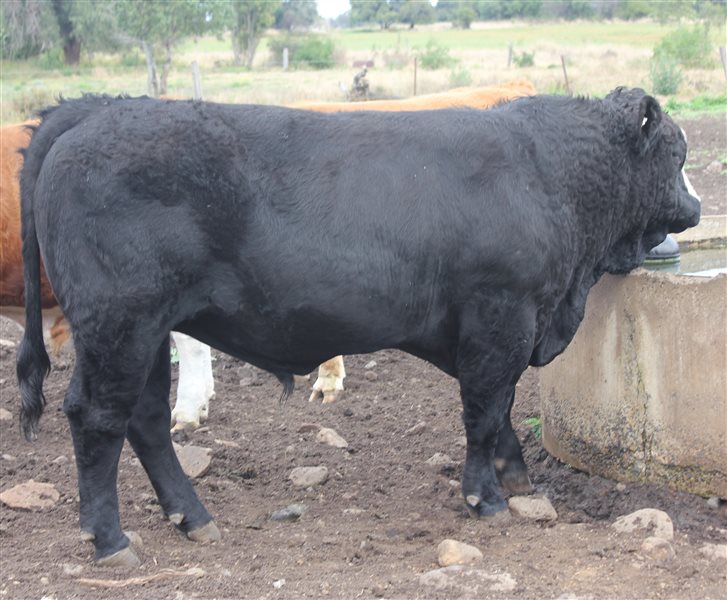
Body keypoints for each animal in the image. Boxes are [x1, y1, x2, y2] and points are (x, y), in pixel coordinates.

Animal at [17, 88, 700, 567]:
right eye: (677, 154)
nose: (695, 208)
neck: (545, 173)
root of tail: (97, 109)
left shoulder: (502, 328)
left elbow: (501, 406)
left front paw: (516, 476)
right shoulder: (500, 314)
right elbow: (484, 409)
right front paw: (486, 497)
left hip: (146, 332)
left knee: (148, 420)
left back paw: (192, 517)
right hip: (119, 325)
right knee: (98, 418)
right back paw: (110, 539)